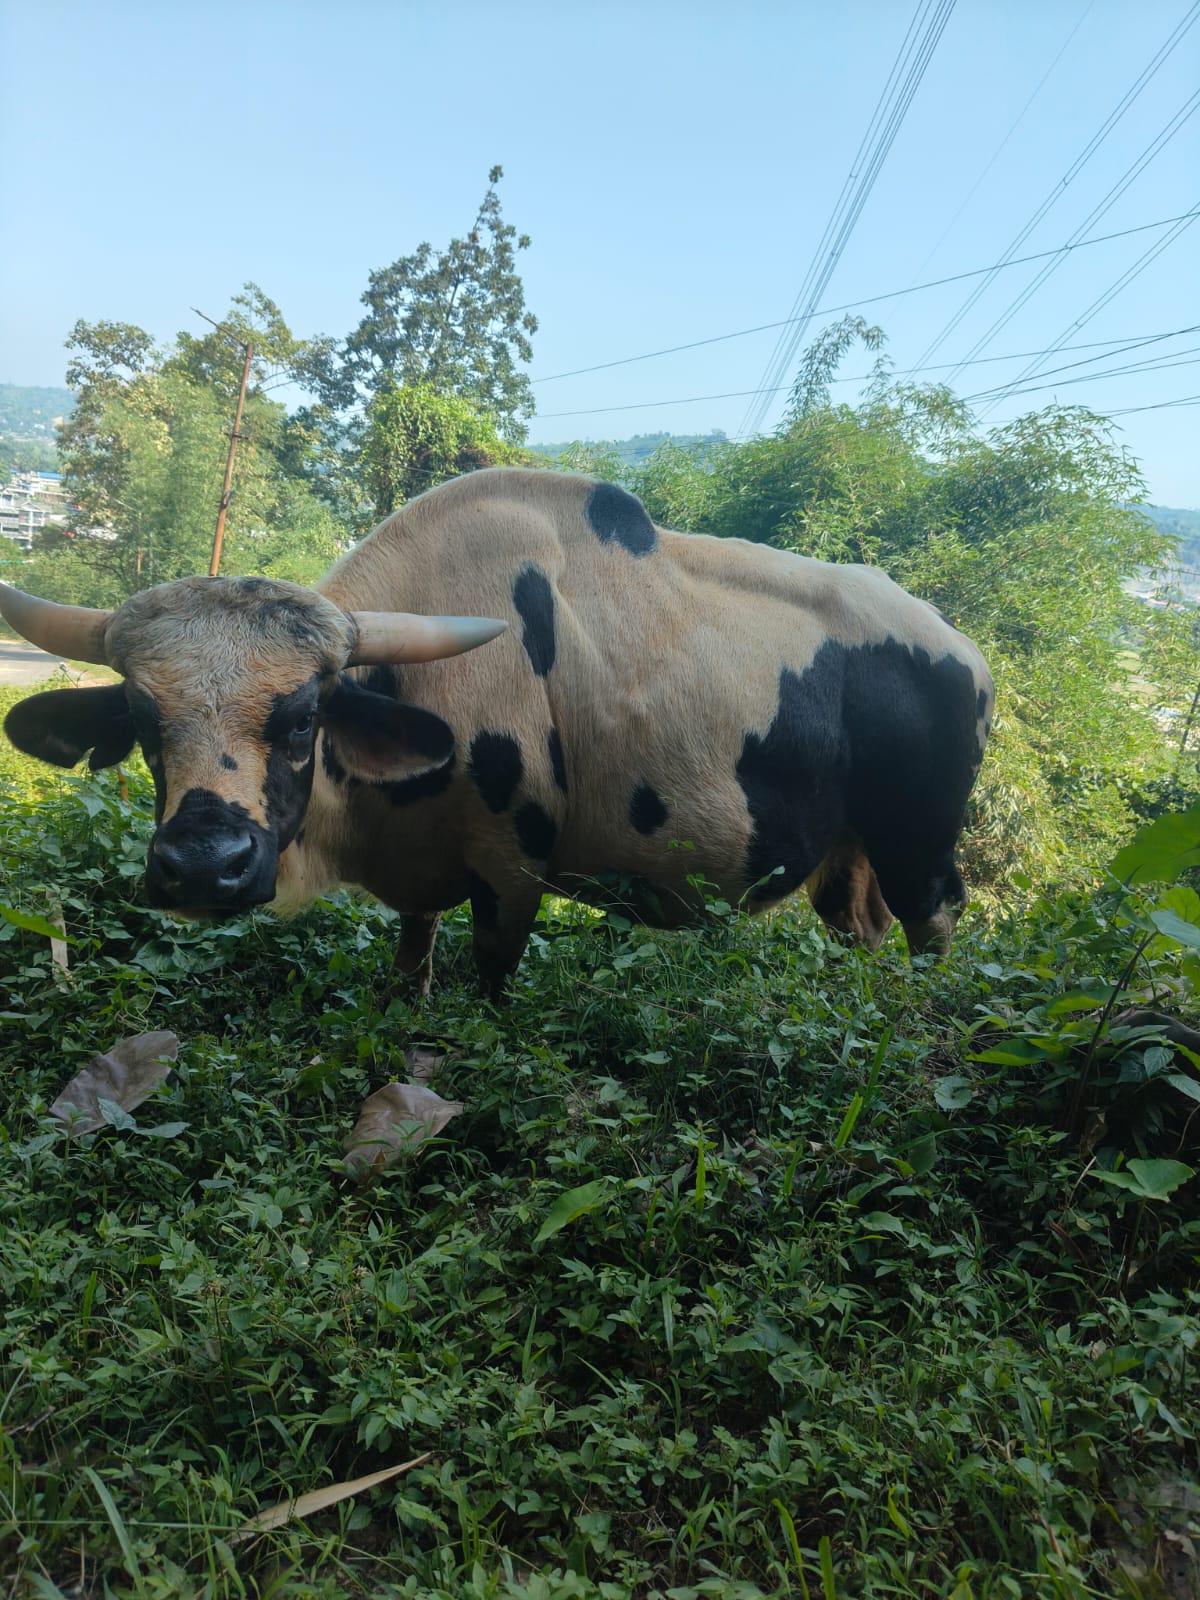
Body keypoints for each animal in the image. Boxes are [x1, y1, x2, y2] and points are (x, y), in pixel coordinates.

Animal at [1, 468, 993, 997]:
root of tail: (965, 652)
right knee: (860, 927)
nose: (206, 867)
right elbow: (410, 964)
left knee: (934, 923)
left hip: (919, 848)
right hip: (848, 858)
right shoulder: (420, 885)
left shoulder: (513, 876)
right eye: (142, 717)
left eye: (302, 717)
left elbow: (489, 978)